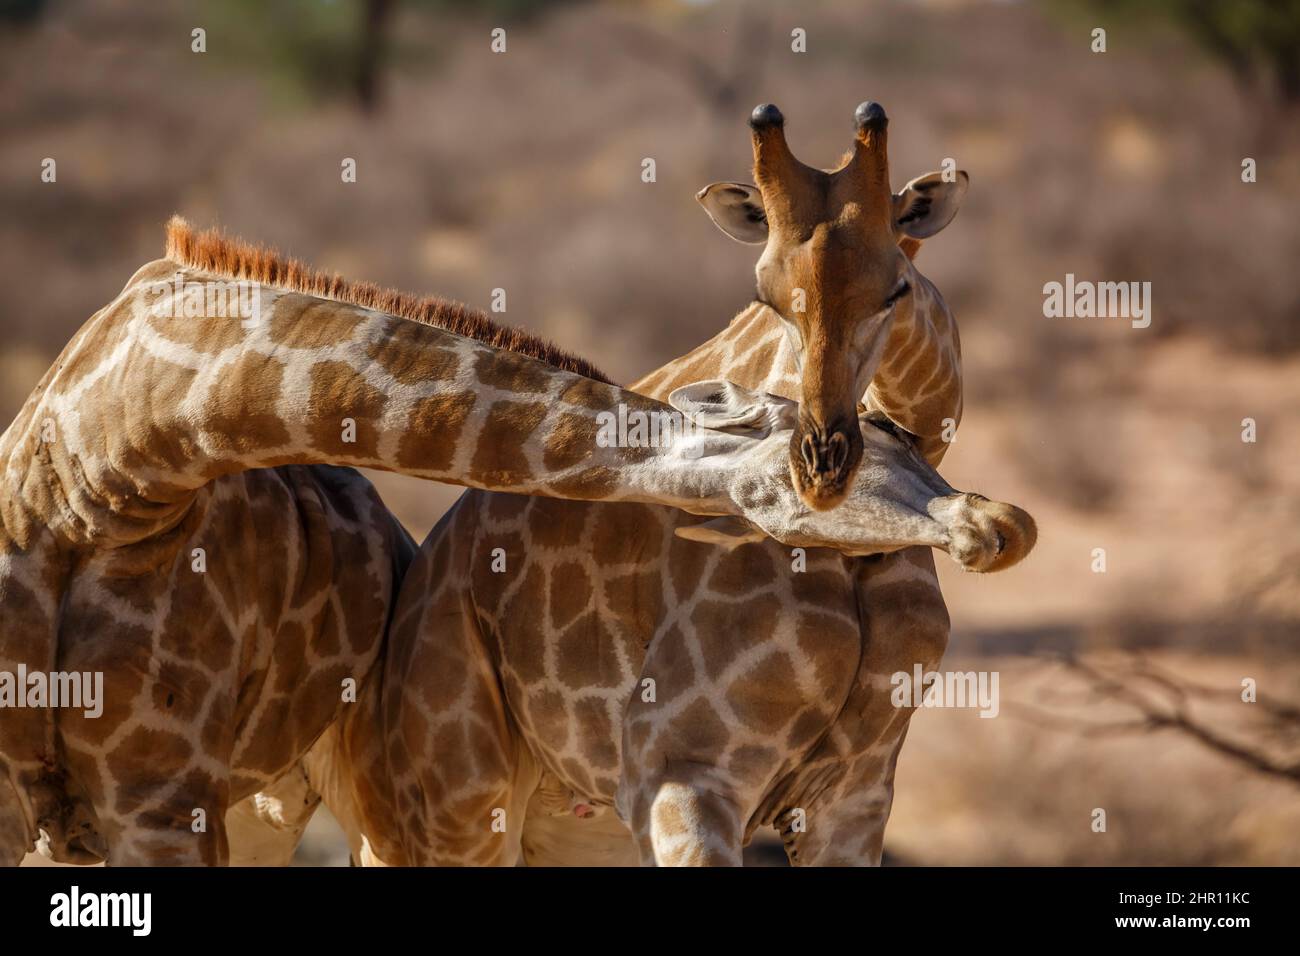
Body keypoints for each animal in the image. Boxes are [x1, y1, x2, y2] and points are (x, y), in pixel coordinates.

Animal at [291, 101, 1004, 866]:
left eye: (896, 286)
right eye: (765, 295)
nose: (823, 459)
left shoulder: (855, 795)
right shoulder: (680, 772)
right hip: (452, 805)